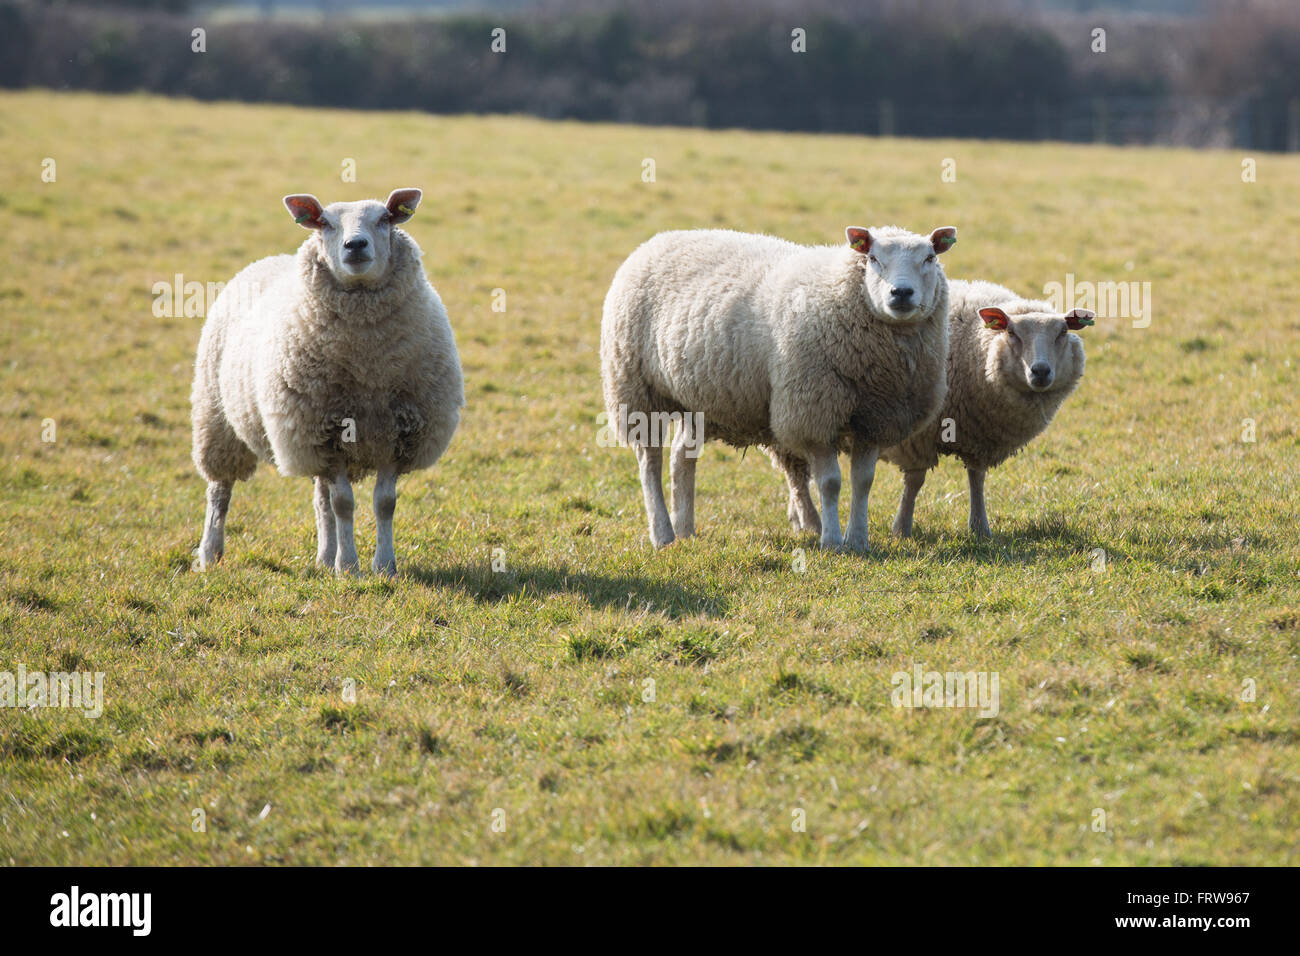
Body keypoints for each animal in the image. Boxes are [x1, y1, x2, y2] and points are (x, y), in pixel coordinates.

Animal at [190, 188, 464, 575]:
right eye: (325, 223)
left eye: (385, 219)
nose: (355, 245)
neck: (367, 367)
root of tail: (268, 259)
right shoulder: (325, 435)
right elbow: (344, 504)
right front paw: (348, 566)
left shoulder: (397, 435)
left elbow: (384, 503)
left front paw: (384, 565)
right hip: (217, 418)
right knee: (219, 489)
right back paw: (210, 551)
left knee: (320, 500)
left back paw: (324, 555)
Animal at [600, 223, 958, 552]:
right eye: (872, 258)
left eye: (929, 258)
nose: (901, 293)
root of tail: (660, 238)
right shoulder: (812, 412)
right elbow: (830, 482)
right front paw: (831, 541)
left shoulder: (875, 418)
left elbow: (863, 482)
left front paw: (857, 541)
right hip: (636, 390)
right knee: (650, 462)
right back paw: (662, 533)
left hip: (699, 401)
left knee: (681, 458)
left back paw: (685, 530)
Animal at [770, 279, 1093, 539]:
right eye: (1012, 333)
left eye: (1062, 332)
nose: (1040, 371)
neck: (975, 347)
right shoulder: (919, 438)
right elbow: (915, 482)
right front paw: (902, 527)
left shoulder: (980, 435)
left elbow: (977, 478)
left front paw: (980, 527)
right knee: (796, 475)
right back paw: (811, 522)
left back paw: (798, 518)